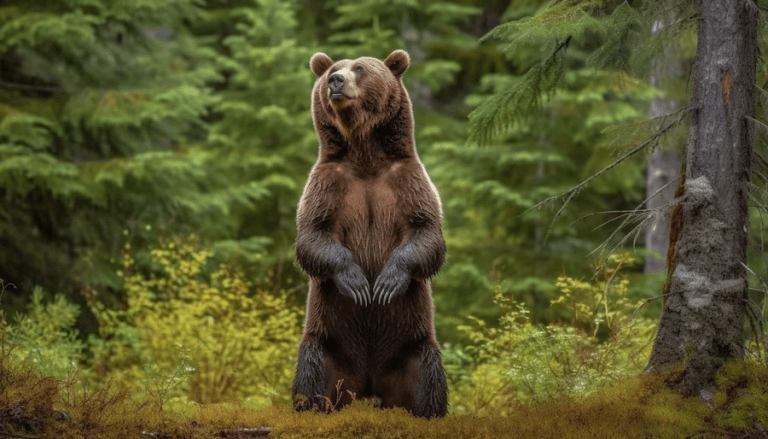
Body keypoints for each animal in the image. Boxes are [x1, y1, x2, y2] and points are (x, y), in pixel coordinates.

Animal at [291, 50, 448, 418]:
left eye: (360, 69)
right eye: (333, 70)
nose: (335, 81)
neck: (365, 158)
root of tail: (368, 385)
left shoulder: (408, 180)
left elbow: (427, 232)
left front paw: (387, 281)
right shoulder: (327, 182)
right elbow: (312, 236)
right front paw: (358, 282)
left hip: (410, 343)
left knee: (428, 372)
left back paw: (429, 411)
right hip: (330, 342)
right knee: (312, 368)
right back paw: (313, 405)